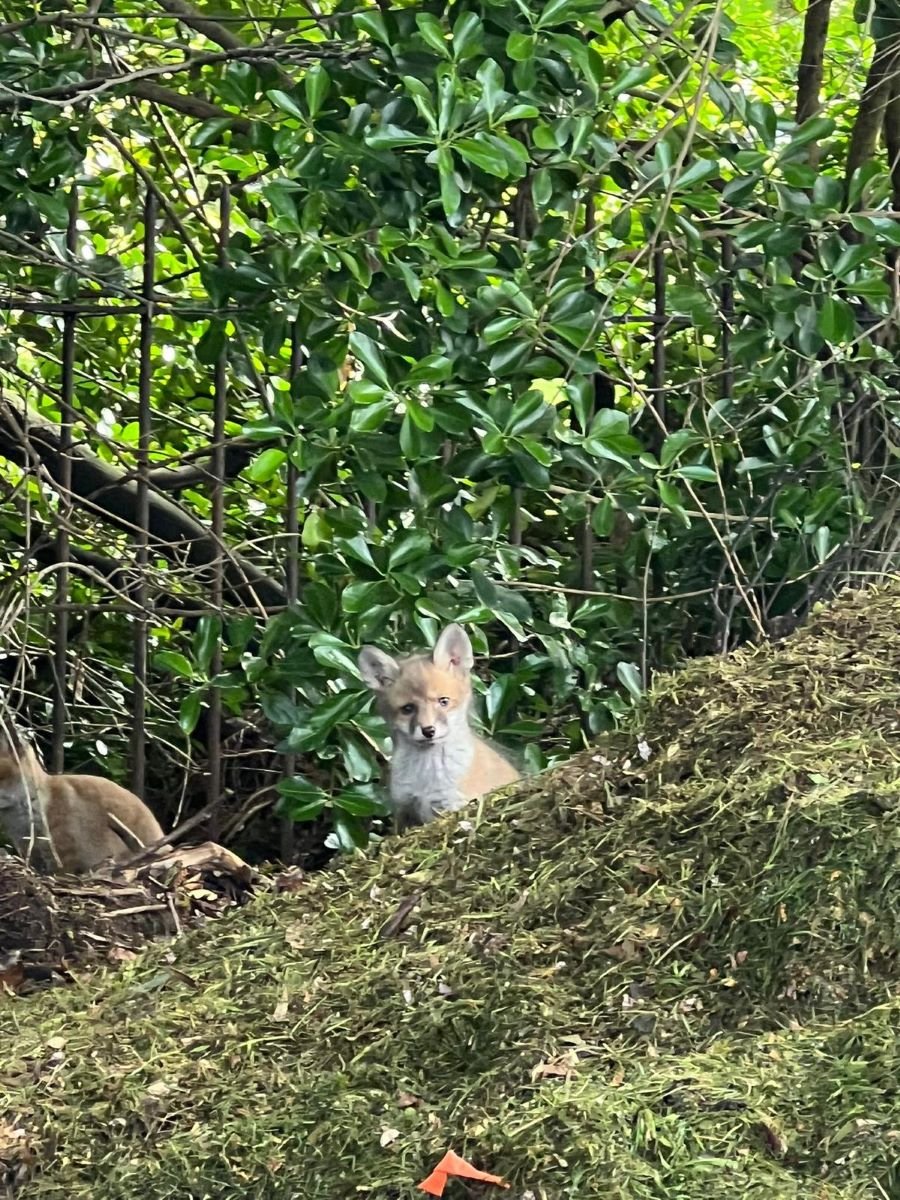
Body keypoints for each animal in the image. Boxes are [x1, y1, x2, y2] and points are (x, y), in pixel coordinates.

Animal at [358, 623, 520, 829]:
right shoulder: (405, 811)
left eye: (444, 701)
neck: (426, 779)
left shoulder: (453, 805)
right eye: (408, 709)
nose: (429, 731)